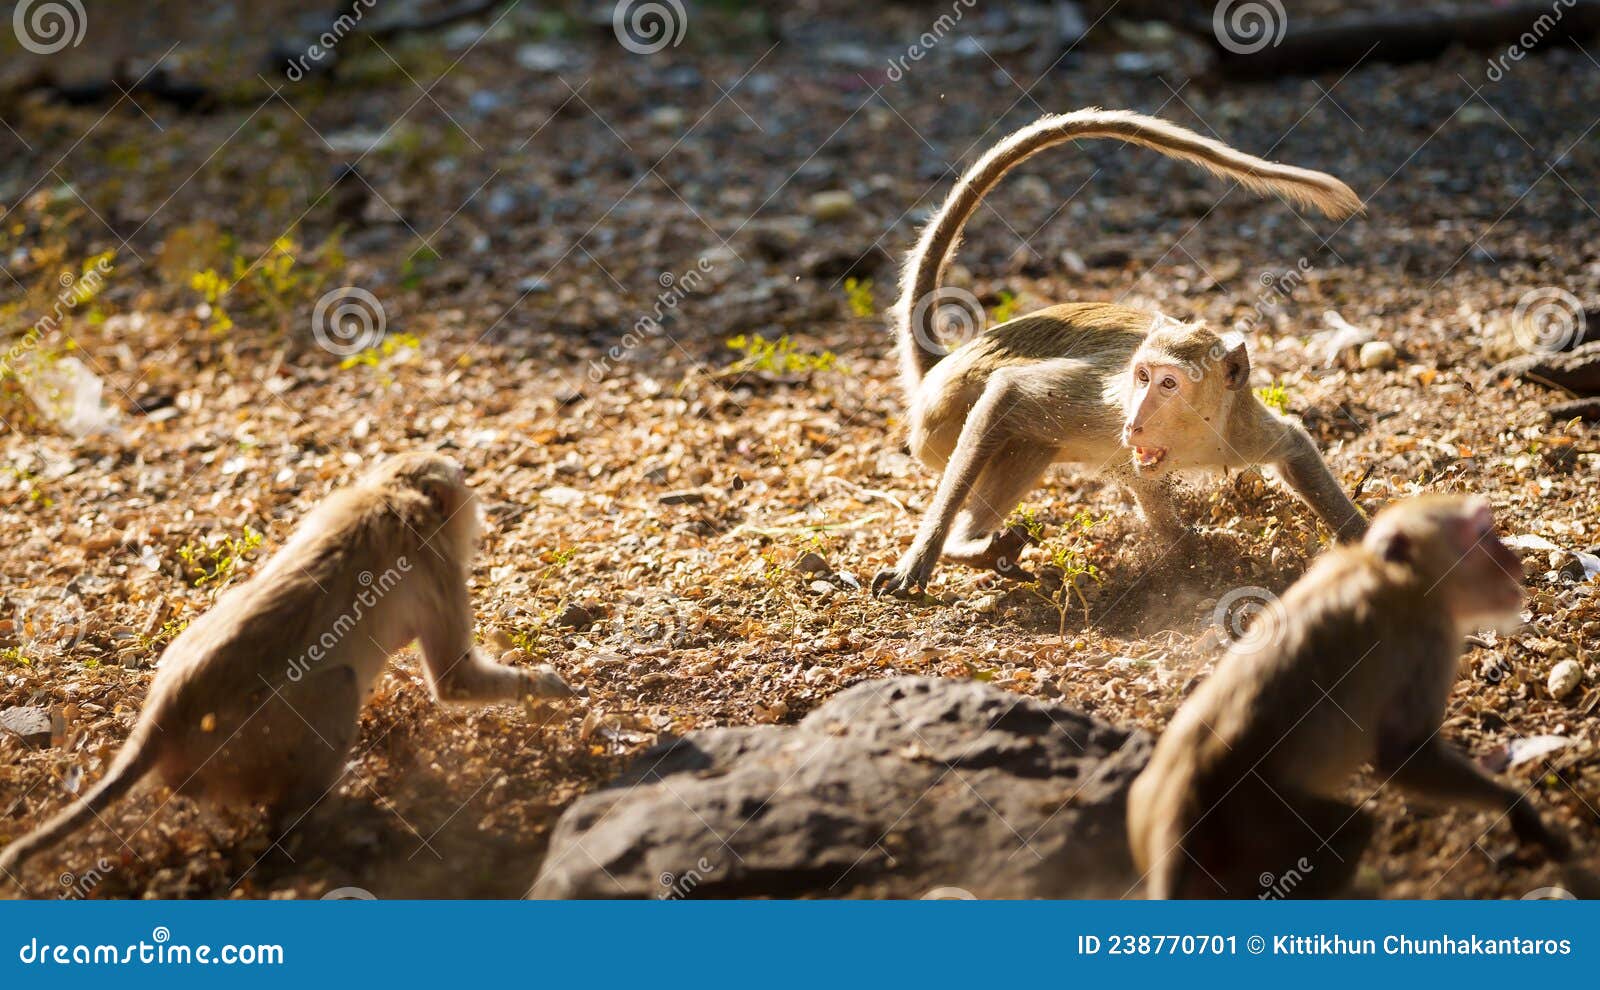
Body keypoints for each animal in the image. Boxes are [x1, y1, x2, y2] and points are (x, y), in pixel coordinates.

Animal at [0, 450, 576, 879]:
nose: (479, 508)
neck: (391, 495)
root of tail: (165, 717)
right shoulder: (436, 561)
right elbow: (457, 680)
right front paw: (551, 689)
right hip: (247, 746)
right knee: (338, 687)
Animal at [873, 108, 1368, 596]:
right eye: (1142, 377)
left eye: (1169, 383)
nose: (1137, 423)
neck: (1191, 438)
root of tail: (941, 365)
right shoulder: (1107, 406)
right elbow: (1010, 392)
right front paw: (918, 558)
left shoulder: (1239, 430)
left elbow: (1294, 447)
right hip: (941, 425)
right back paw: (965, 545)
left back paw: (972, 545)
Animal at [1126, 495, 1579, 899]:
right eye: (1480, 534)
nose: (1512, 561)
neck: (1398, 577)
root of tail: (1184, 800)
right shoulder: (1427, 637)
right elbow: (1402, 755)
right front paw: (1515, 806)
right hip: (1262, 826)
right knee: (1352, 829)